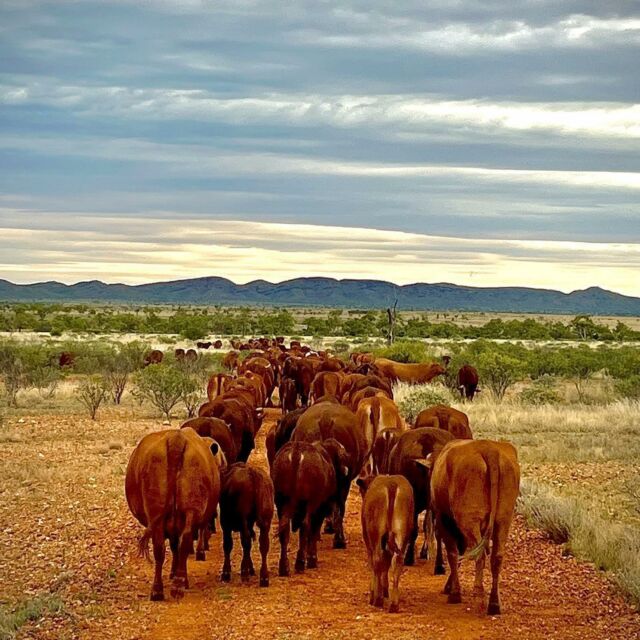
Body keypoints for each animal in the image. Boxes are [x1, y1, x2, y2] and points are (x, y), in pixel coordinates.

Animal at [125, 428, 221, 600]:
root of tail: (176, 440)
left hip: (158, 513)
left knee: (163, 547)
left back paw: (163, 588)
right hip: (189, 509)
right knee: (180, 542)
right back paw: (175, 584)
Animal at [272, 439, 349, 575]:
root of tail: (297, 451)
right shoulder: (320, 508)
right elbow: (313, 531)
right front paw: (312, 558)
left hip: (281, 502)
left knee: (284, 529)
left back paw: (284, 567)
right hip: (309, 504)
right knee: (305, 526)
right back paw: (300, 563)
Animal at [356, 475, 414, 612]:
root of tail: (391, 484)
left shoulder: (369, 542)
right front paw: (385, 590)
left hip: (376, 535)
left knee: (377, 560)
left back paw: (377, 599)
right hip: (401, 534)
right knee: (397, 561)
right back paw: (394, 604)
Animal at [428, 439, 520, 614]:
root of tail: (489, 449)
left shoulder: (444, 521)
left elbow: (453, 554)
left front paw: (454, 593)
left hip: (469, 522)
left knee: (480, 555)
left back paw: (479, 598)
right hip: (503, 521)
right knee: (497, 557)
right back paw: (494, 603)